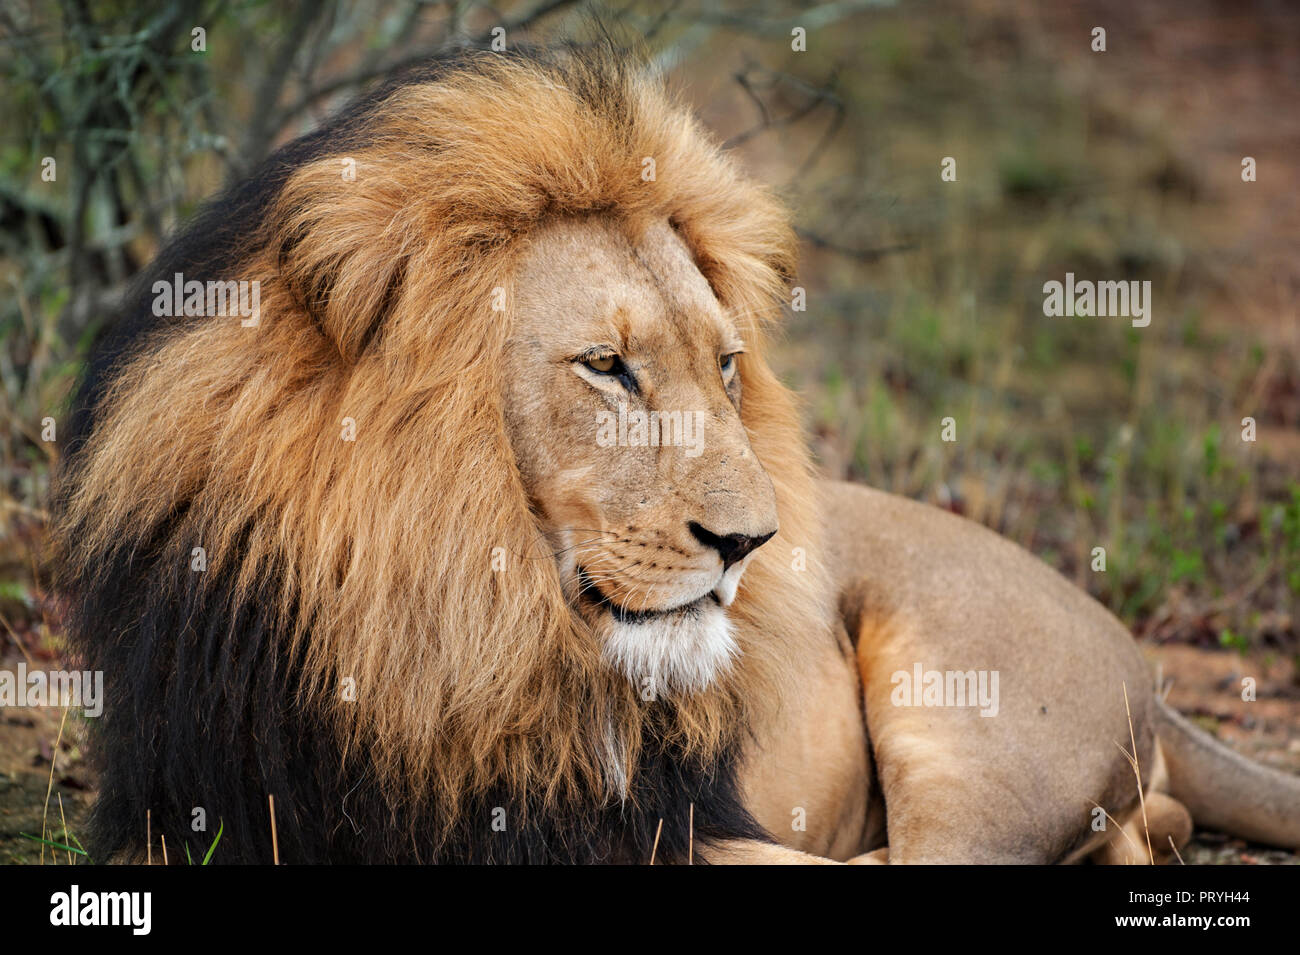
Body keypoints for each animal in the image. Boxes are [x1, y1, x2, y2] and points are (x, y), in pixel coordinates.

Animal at [54, 47, 1300, 864]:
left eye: (728, 365)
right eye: (607, 366)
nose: (752, 543)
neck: (448, 620)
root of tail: (1144, 670)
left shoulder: (656, 824)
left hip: (970, 712)